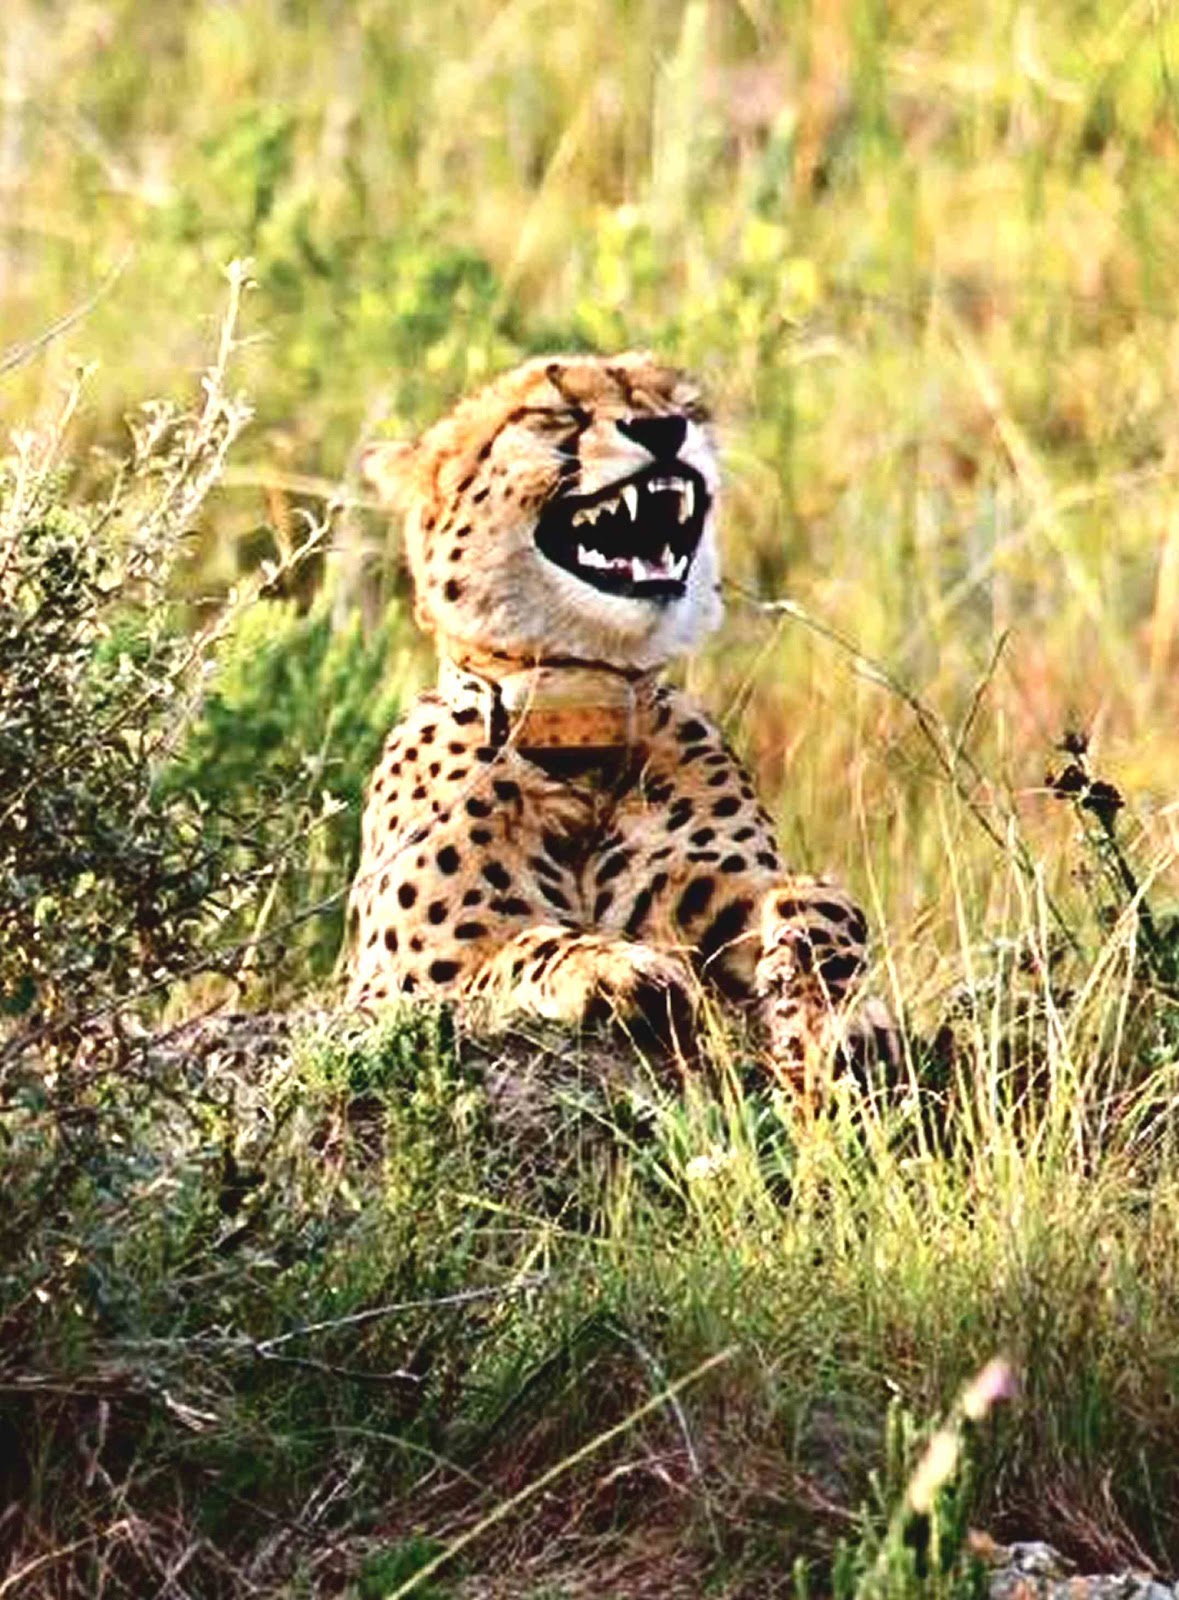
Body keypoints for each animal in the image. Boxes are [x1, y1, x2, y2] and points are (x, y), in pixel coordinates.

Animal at [348, 351, 890, 1085]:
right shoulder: (399, 984)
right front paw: (617, 969)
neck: (583, 713)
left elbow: (820, 901)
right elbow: (523, 946)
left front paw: (825, 989)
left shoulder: (721, 894)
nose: (662, 430)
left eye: (681, 404)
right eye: (554, 412)